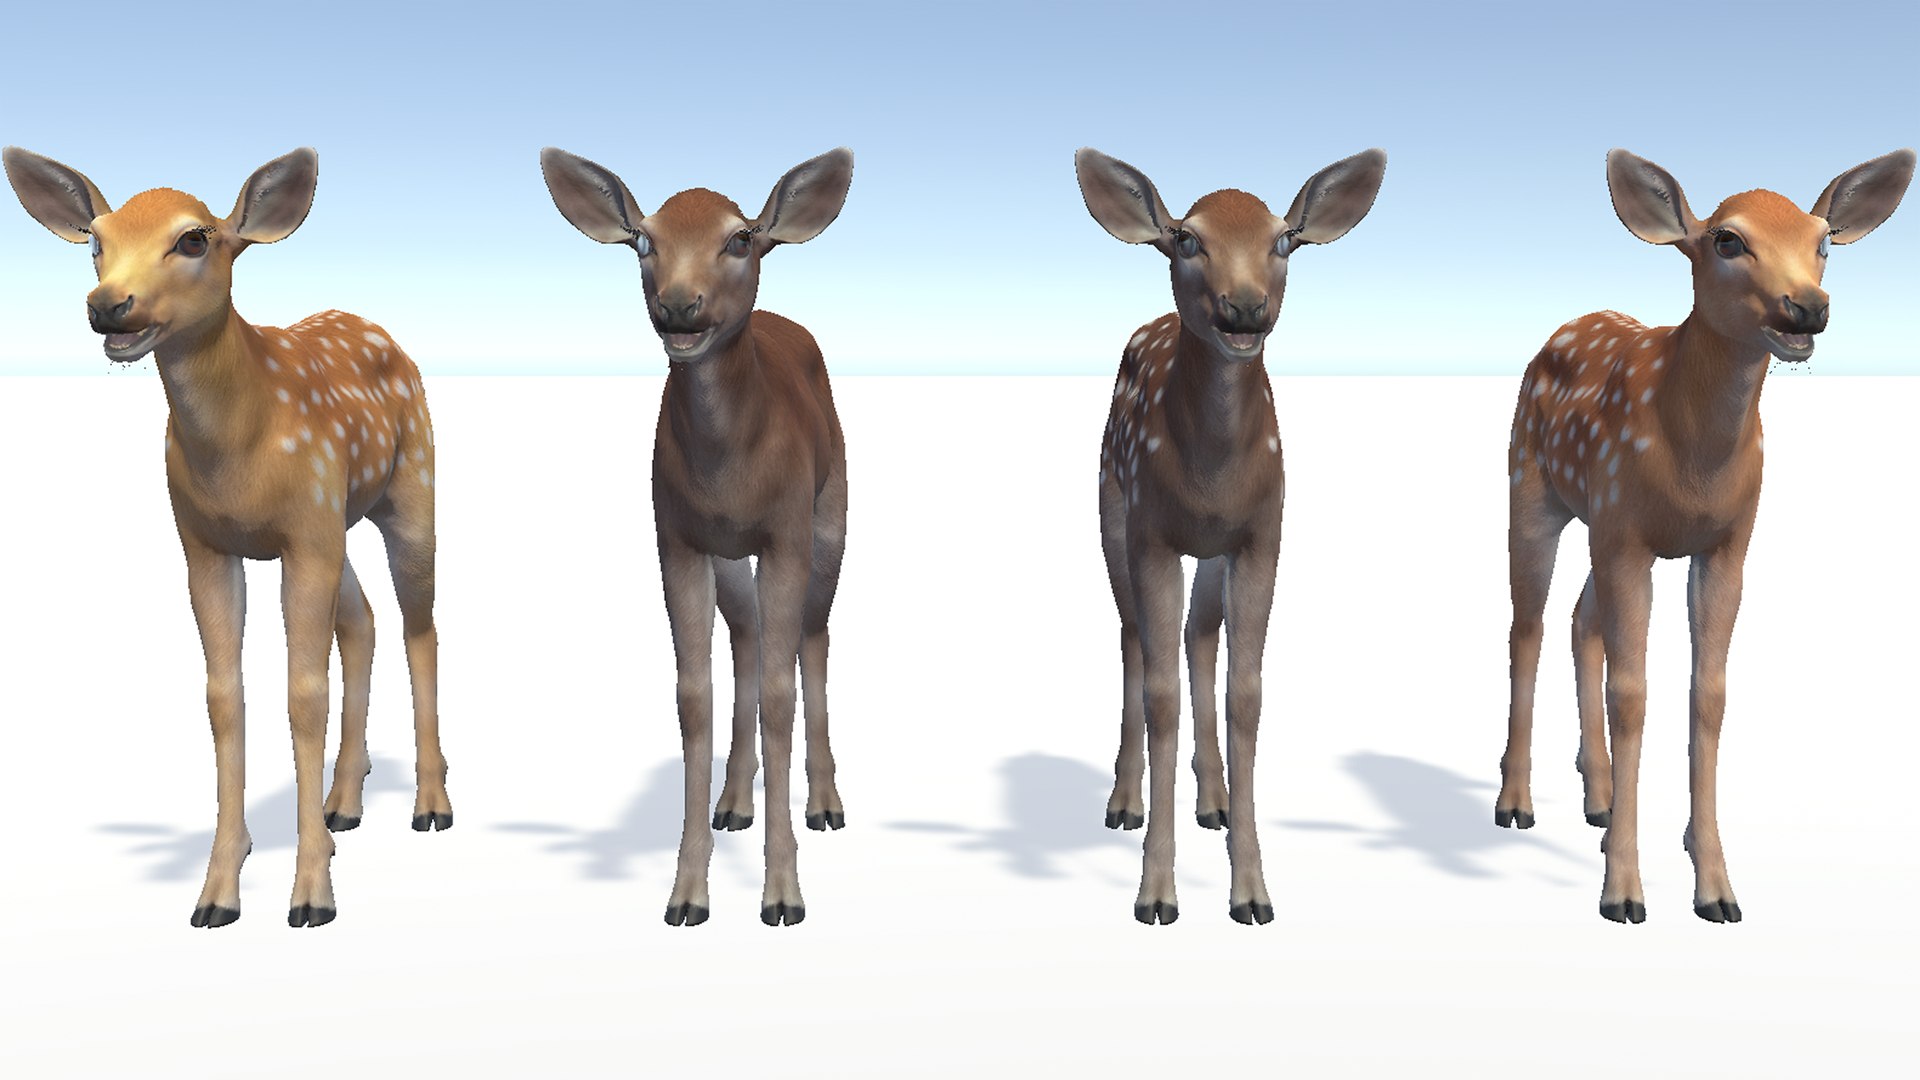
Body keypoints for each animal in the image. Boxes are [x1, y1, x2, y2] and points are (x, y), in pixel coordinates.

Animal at [3, 146, 453, 929]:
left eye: (194, 239)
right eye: (96, 241)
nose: (107, 305)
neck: (241, 447)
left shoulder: (302, 535)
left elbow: (303, 692)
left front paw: (311, 896)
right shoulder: (205, 542)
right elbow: (222, 697)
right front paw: (218, 888)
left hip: (408, 487)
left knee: (418, 624)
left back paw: (430, 804)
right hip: (333, 518)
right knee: (363, 620)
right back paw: (343, 804)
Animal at [540, 147, 853, 927]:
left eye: (740, 237)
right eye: (643, 240)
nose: (679, 305)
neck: (726, 475)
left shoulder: (785, 533)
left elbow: (780, 693)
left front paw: (783, 896)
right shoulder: (673, 536)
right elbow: (692, 697)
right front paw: (686, 893)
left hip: (830, 519)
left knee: (812, 636)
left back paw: (826, 802)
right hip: (728, 558)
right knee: (745, 637)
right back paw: (734, 802)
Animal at [1076, 147, 1387, 924]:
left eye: (1284, 239)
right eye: (1186, 238)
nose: (1244, 307)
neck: (1210, 479)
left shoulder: (1263, 534)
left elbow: (1246, 696)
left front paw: (1251, 892)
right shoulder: (1152, 534)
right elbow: (1158, 696)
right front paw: (1156, 894)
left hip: (1212, 551)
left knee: (1198, 634)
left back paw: (1212, 801)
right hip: (1111, 507)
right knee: (1134, 636)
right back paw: (1123, 802)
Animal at [1496, 148, 1914, 923]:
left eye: (1824, 240)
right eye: (1726, 240)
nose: (1807, 306)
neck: (1694, 459)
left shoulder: (1727, 542)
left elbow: (1709, 694)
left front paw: (1715, 885)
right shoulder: (1629, 535)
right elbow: (1633, 694)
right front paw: (1623, 892)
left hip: (1600, 520)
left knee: (1578, 620)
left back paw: (1599, 801)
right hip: (1532, 487)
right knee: (1527, 626)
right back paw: (1516, 802)